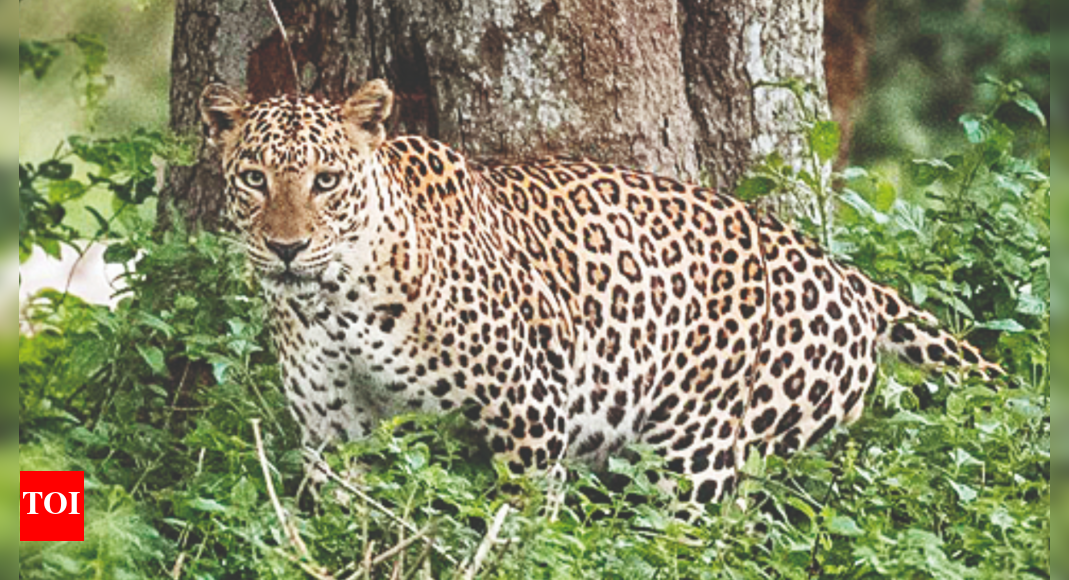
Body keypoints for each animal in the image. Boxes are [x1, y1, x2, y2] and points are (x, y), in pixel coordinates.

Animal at [199, 79, 1003, 506]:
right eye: (254, 179)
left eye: (327, 181)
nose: (285, 248)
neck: (333, 305)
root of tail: (838, 266)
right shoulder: (335, 439)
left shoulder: (526, 413)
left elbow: (520, 522)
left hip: (694, 453)